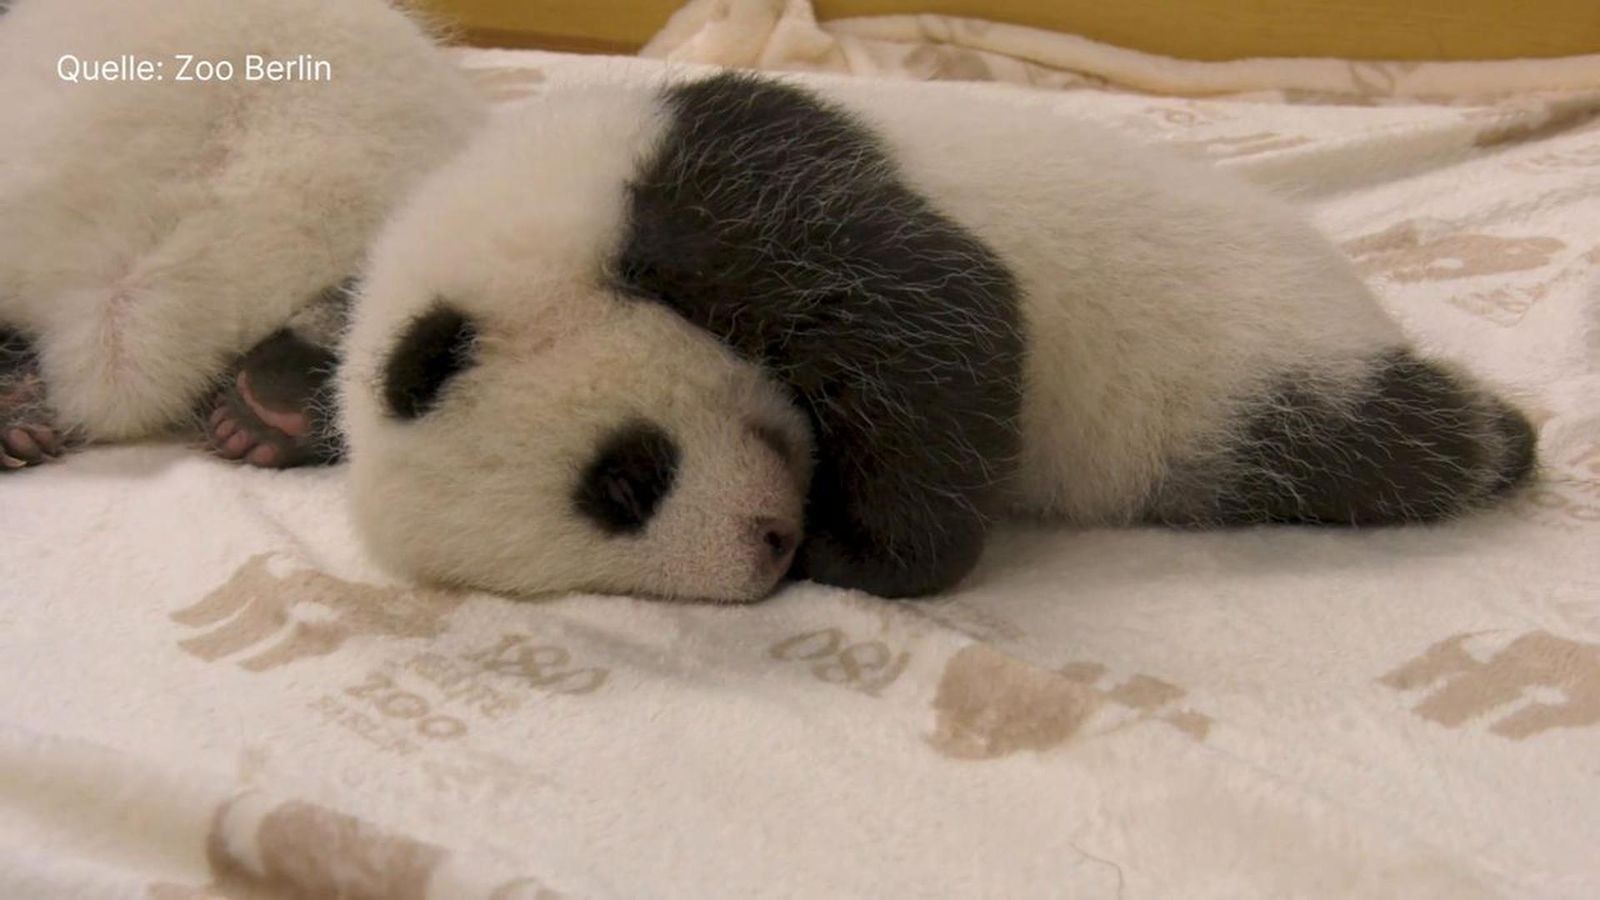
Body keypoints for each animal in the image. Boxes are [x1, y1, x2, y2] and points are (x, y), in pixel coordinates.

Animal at [337, 71, 1536, 603]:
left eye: (623, 479)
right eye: (598, 575)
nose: (765, 553)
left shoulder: (701, 181)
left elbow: (940, 311)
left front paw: (865, 555)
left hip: (1253, 356)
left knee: (1381, 442)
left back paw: (1496, 439)